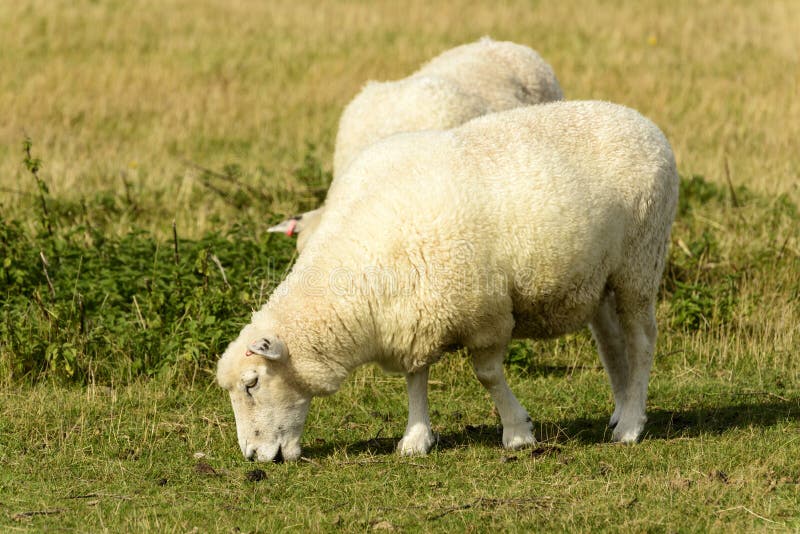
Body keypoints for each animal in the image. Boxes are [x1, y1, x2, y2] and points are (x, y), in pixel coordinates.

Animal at [217, 100, 679, 462]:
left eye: (252, 384)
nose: (252, 456)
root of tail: (645, 123)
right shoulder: (412, 316)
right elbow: (415, 378)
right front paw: (416, 437)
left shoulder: (486, 313)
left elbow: (487, 376)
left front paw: (517, 432)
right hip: (601, 277)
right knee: (612, 343)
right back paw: (620, 410)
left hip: (640, 259)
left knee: (641, 341)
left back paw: (631, 425)